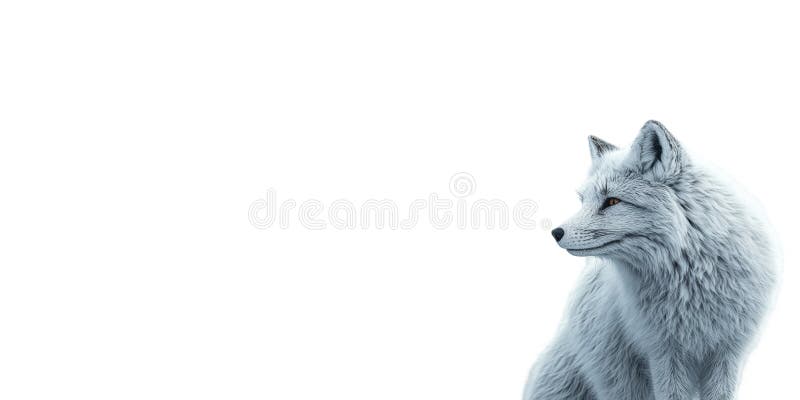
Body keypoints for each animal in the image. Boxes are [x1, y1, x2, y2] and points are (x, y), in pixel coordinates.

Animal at [523, 121, 778, 400]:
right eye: (583, 201)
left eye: (612, 201)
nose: (556, 233)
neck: (693, 279)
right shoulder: (663, 352)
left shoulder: (729, 350)